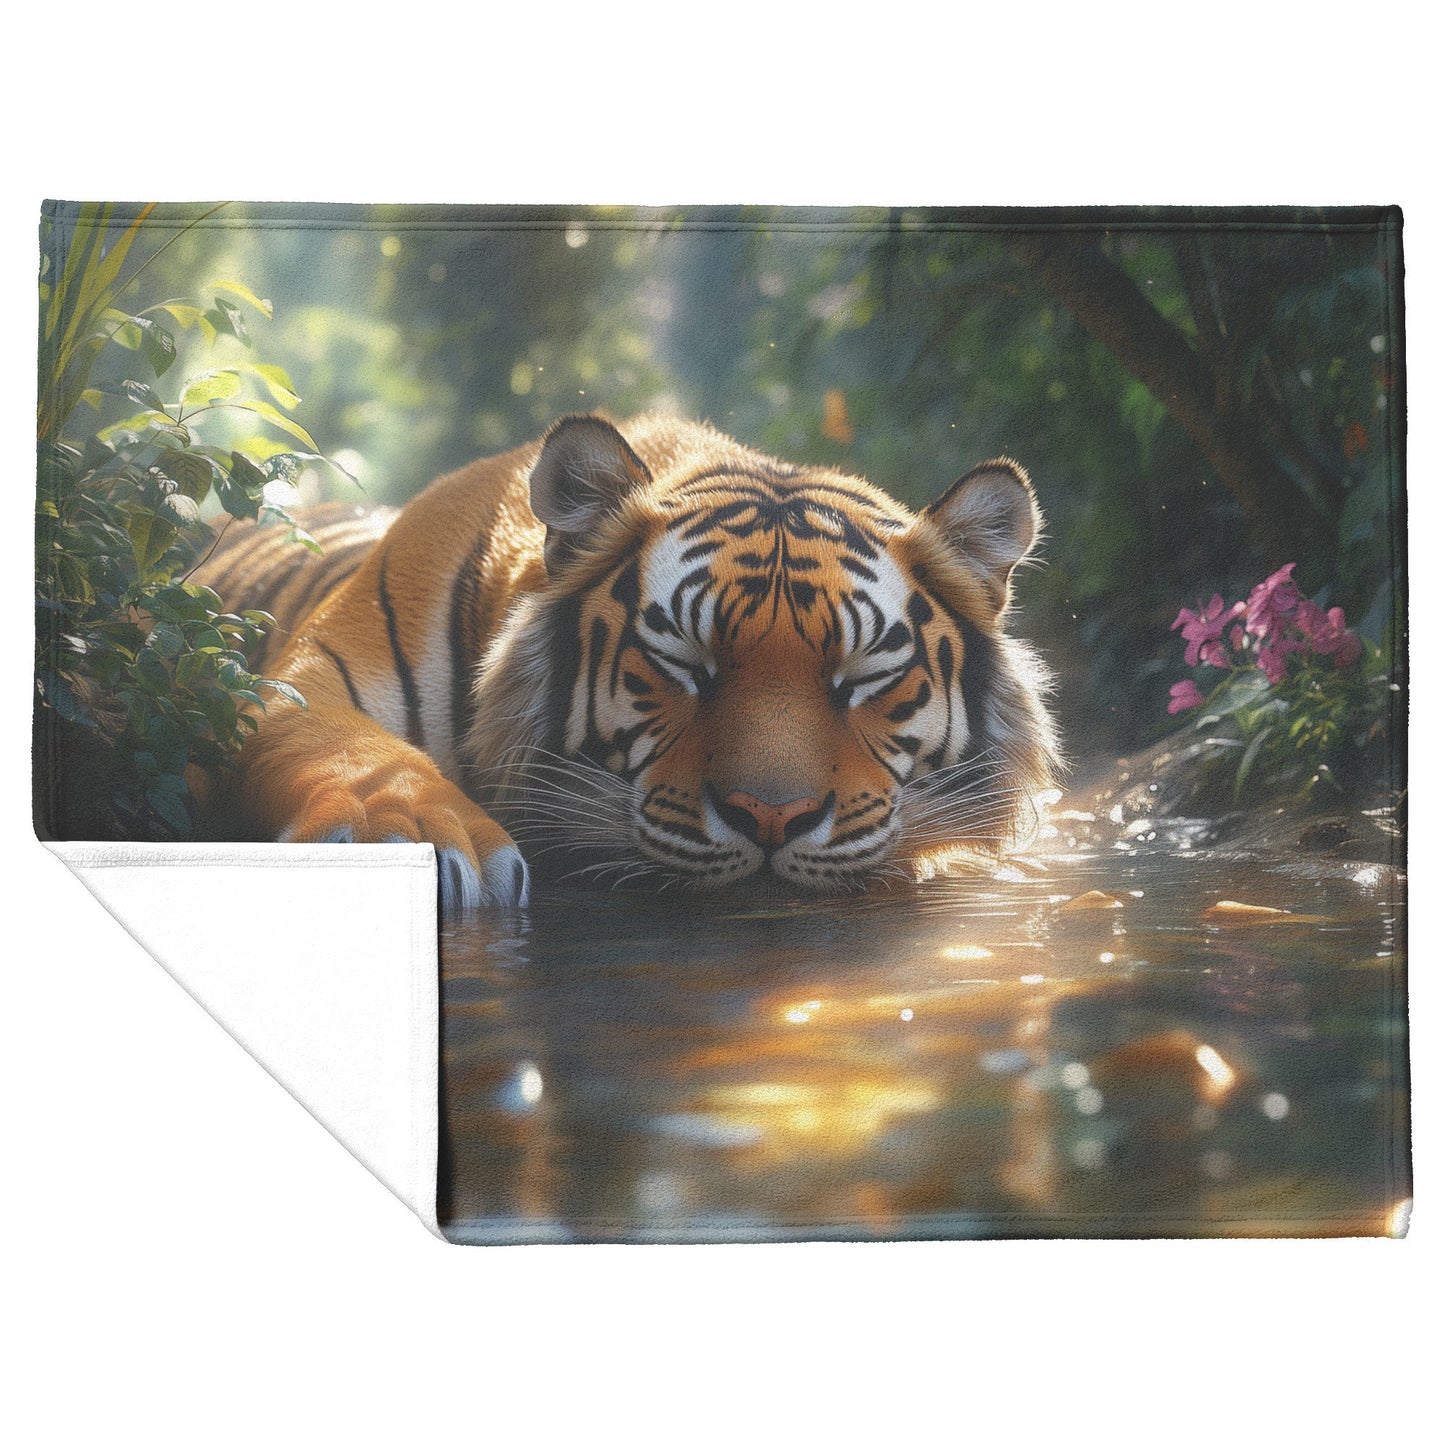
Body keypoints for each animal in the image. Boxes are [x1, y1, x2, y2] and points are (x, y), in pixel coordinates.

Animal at [197, 414, 1060, 911]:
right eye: (684, 663)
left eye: (863, 678)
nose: (770, 818)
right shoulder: (305, 686)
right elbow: (359, 754)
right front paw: (402, 837)